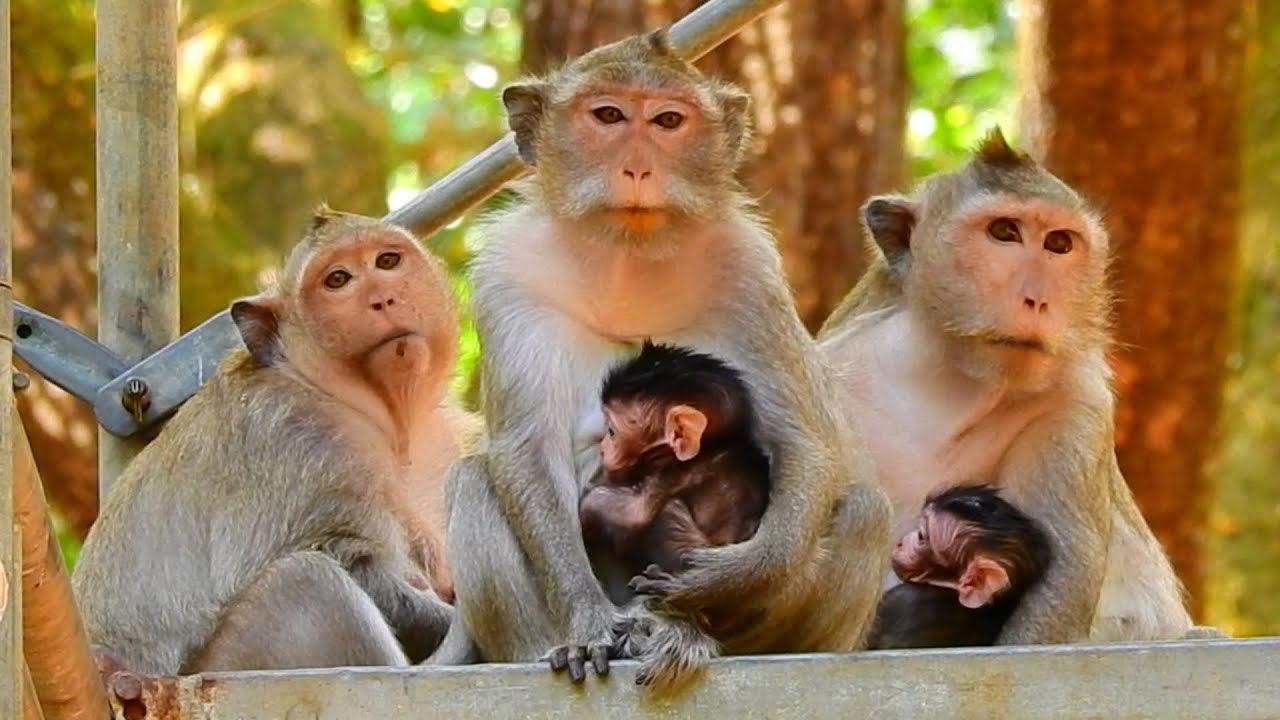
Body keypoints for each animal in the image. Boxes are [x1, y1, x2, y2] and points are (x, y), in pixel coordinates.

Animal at [72, 207, 472, 675]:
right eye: (338, 280)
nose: (383, 299)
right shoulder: (303, 441)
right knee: (305, 581)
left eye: (387, 261)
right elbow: (348, 559)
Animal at [578, 341, 770, 580]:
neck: (709, 447)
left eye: (612, 432)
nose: (603, 449)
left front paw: (588, 508)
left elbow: (636, 512)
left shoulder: (676, 472)